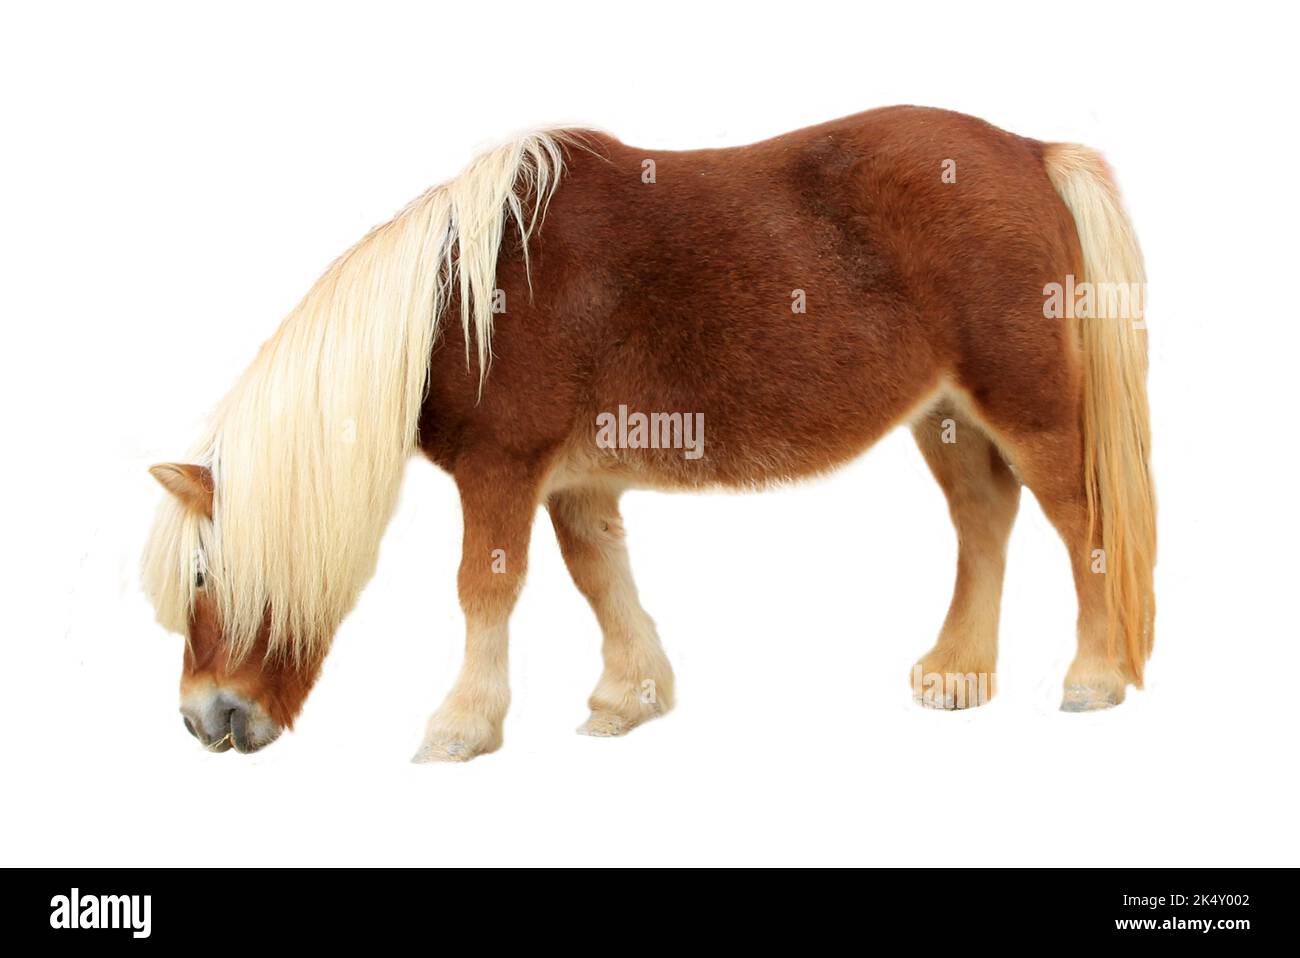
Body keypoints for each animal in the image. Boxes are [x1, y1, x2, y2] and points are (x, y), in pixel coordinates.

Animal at [142, 106, 1155, 760]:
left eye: (202, 575)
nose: (202, 720)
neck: (462, 303)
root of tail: (1031, 152)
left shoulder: (503, 471)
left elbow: (485, 591)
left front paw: (462, 727)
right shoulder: (574, 482)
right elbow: (601, 579)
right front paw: (627, 700)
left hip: (1026, 405)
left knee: (1081, 524)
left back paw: (1093, 678)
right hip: (944, 416)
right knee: (985, 520)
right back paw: (956, 674)